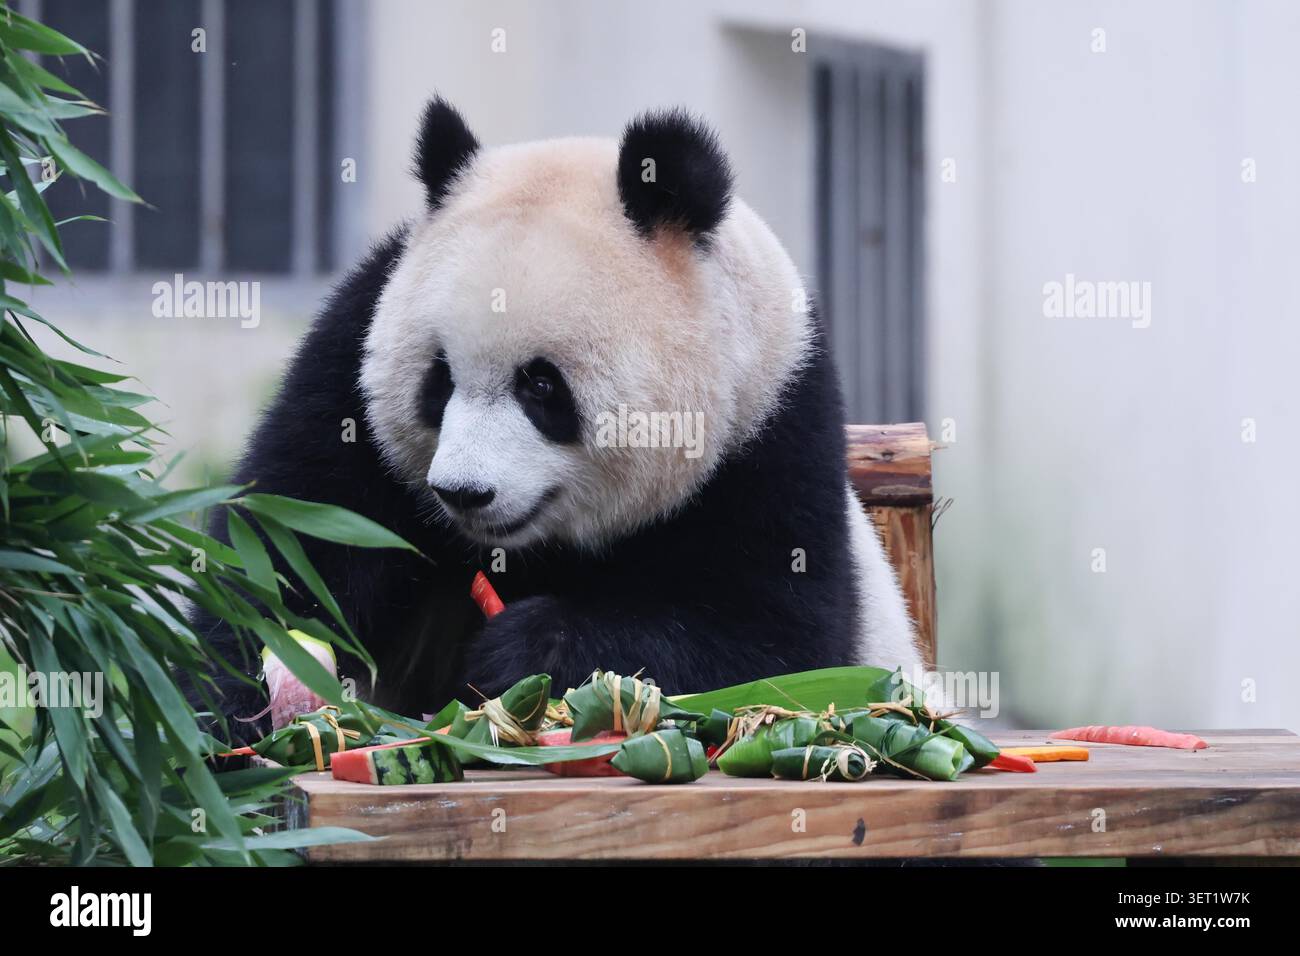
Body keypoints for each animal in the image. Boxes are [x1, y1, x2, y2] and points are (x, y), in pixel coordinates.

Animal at [191, 97, 924, 736]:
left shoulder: (771, 428)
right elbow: (293, 537)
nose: (463, 492)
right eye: (439, 379)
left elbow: (770, 643)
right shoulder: (350, 364)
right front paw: (235, 702)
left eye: (542, 385)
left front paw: (522, 650)